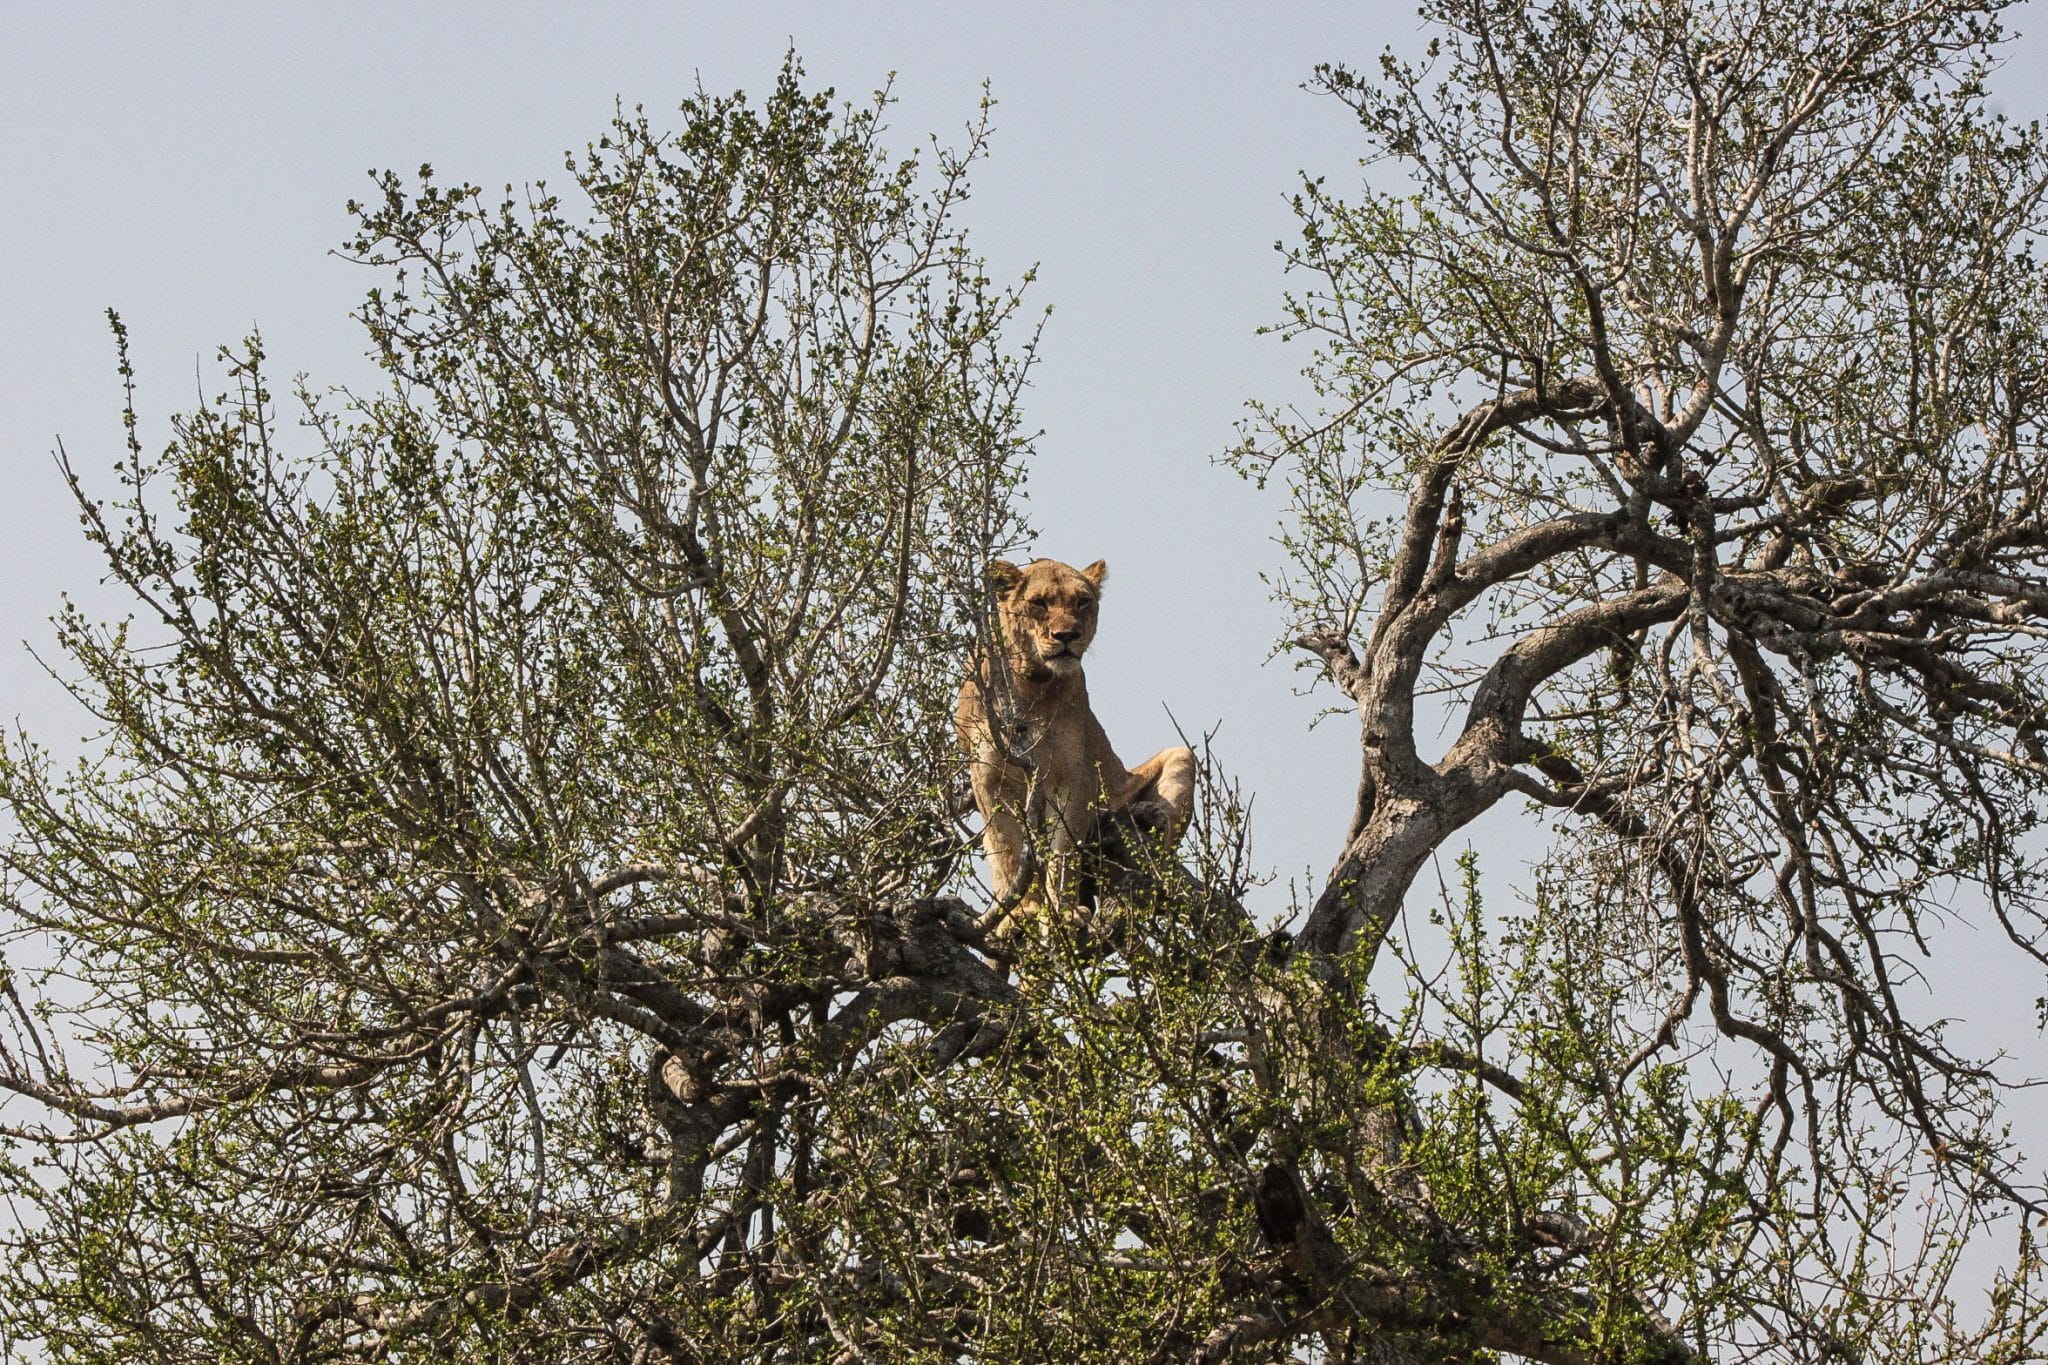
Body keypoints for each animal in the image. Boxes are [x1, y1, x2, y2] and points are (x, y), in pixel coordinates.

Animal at [954, 556, 1197, 932]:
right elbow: (1006, 847)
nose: (1067, 636)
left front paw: (1064, 912)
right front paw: (1020, 913)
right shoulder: (987, 776)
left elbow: (1063, 850)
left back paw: (1148, 815)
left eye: (1082, 601)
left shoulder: (1073, 775)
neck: (1033, 685)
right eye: (1039, 602)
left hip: (1178, 757)